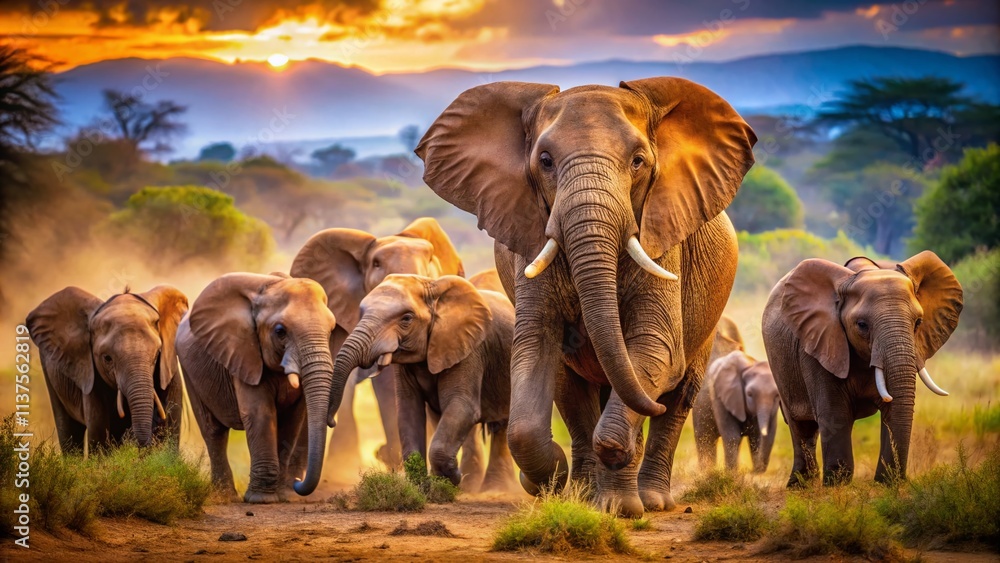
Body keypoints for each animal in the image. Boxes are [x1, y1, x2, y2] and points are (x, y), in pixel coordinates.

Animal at [26, 285, 187, 452]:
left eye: (157, 354)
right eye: (107, 358)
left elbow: (172, 430)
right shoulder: (91, 379)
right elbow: (98, 433)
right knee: (68, 430)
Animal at [176, 273, 337, 503]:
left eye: (332, 330)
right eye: (280, 331)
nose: (298, 483)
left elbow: (293, 418)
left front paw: (283, 496)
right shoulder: (243, 352)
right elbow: (259, 412)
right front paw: (261, 500)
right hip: (188, 368)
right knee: (213, 430)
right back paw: (225, 497)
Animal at [329, 273, 519, 492]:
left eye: (406, 319)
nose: (331, 421)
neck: (433, 287)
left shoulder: (469, 349)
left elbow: (462, 405)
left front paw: (451, 479)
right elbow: (409, 410)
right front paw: (427, 487)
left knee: (500, 425)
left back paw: (495, 489)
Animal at [416, 77, 756, 516]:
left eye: (638, 161)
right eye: (545, 161)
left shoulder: (662, 241)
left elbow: (656, 344)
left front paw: (619, 498)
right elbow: (536, 347)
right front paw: (554, 476)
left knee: (679, 393)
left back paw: (647, 501)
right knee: (572, 387)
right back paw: (585, 493)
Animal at [761, 251, 962, 486]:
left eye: (918, 322)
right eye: (862, 325)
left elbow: (892, 411)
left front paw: (887, 483)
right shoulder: (818, 343)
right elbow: (835, 413)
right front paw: (836, 484)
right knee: (800, 425)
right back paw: (800, 486)